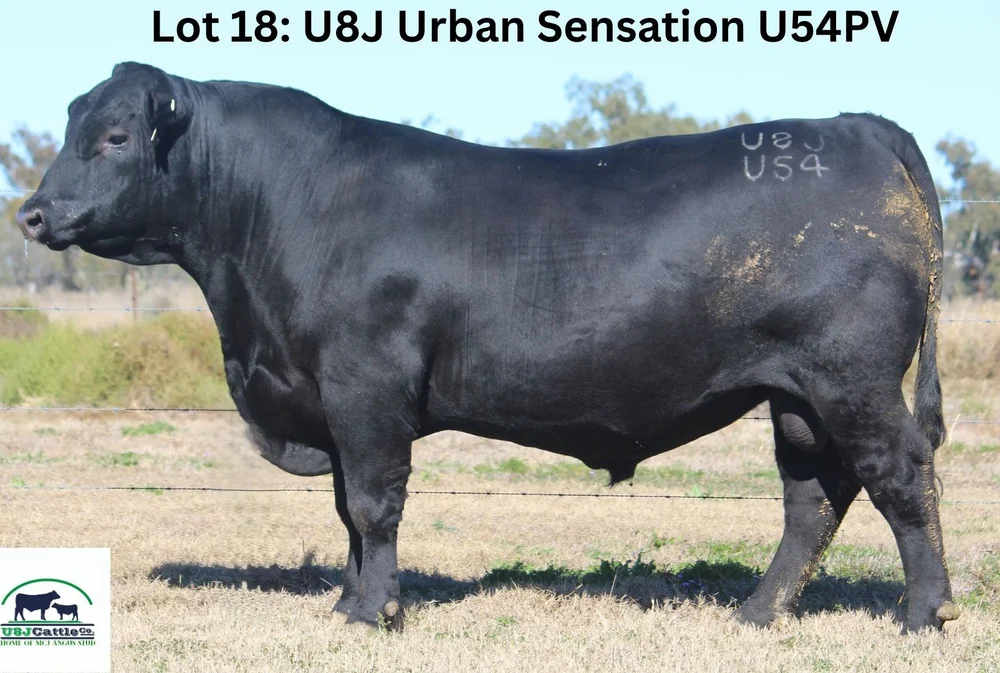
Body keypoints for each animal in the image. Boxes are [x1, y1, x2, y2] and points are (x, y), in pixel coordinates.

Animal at [17, 62, 958, 634]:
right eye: (70, 130)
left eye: (115, 137)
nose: (31, 212)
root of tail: (853, 124)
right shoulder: (328, 401)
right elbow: (345, 512)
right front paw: (349, 600)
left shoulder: (365, 388)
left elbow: (373, 505)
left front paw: (375, 612)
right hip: (796, 395)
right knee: (814, 495)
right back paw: (758, 611)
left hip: (853, 378)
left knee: (900, 474)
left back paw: (926, 612)